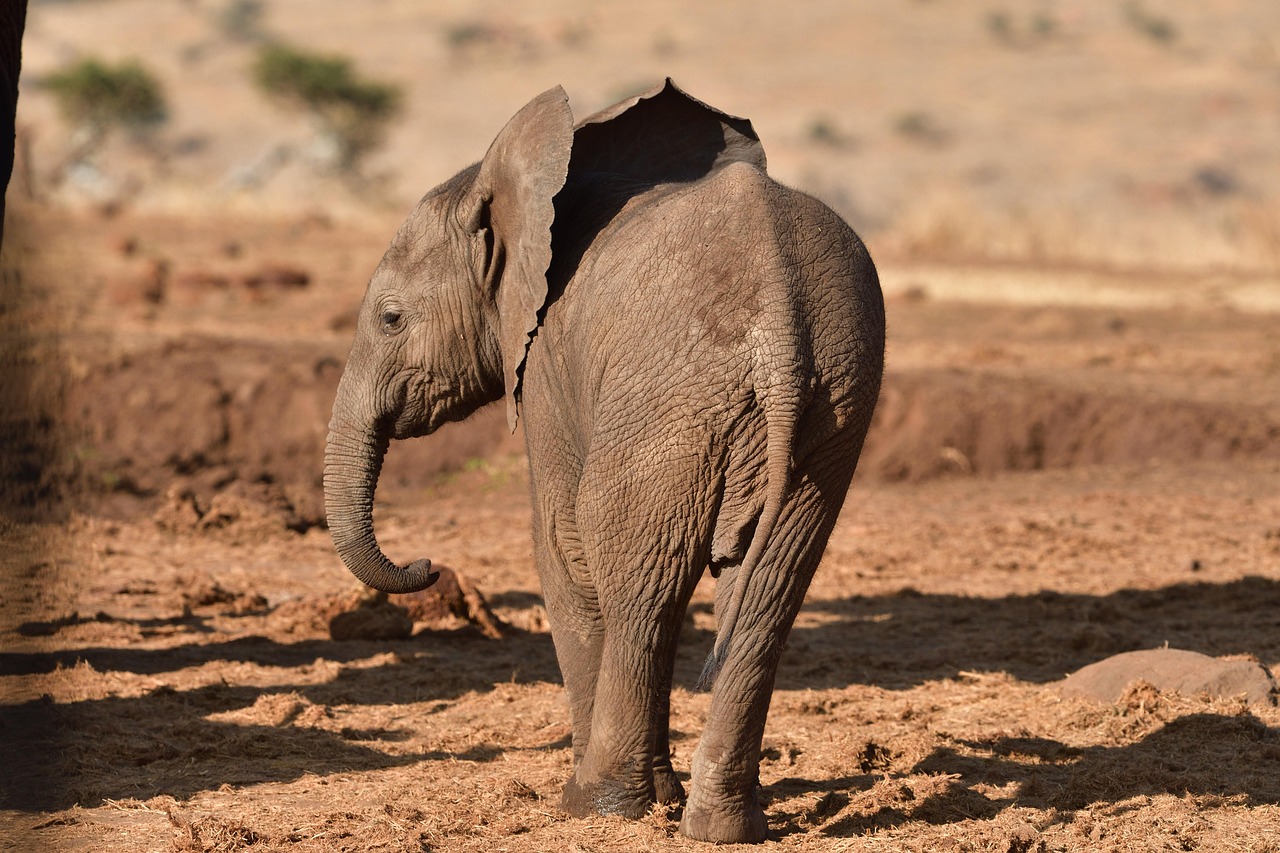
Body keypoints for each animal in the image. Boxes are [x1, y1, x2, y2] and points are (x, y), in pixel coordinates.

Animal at [323, 79, 885, 843]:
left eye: (390, 318)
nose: (427, 565)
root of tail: (781, 320)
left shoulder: (545, 359)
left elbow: (560, 540)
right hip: (831, 404)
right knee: (766, 592)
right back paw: (719, 826)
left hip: (669, 396)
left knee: (639, 578)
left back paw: (599, 803)